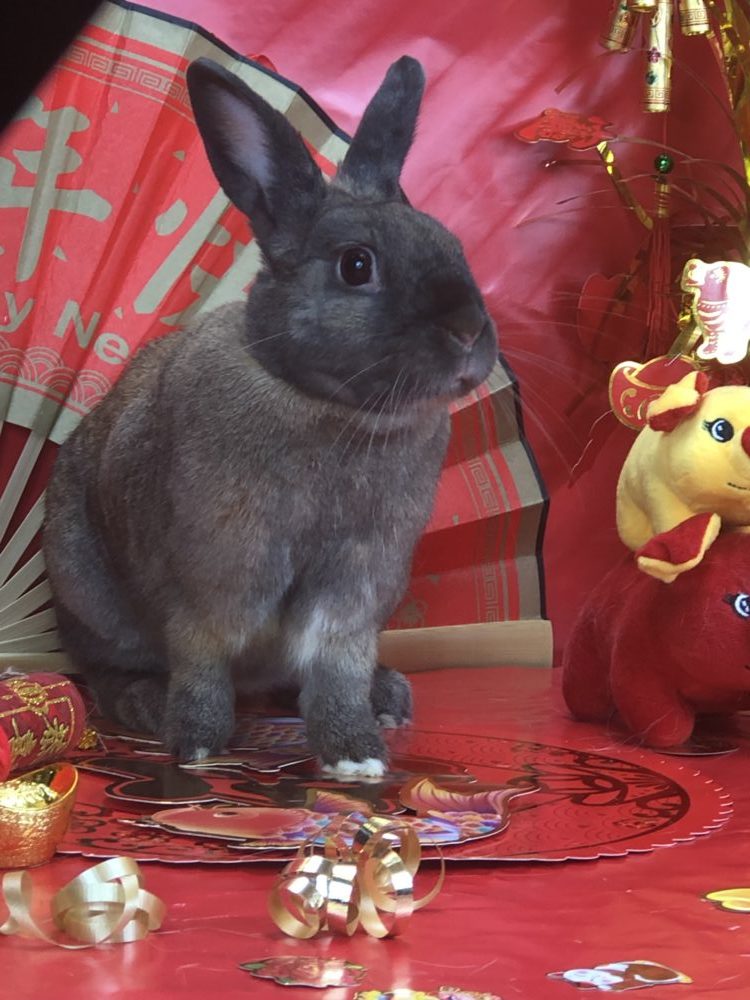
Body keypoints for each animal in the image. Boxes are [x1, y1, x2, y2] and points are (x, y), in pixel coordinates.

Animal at [42, 55, 498, 776]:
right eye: (356, 265)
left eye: (452, 242)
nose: (469, 334)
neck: (325, 404)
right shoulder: (217, 578)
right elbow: (202, 658)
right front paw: (197, 743)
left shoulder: (355, 588)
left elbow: (336, 667)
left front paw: (355, 754)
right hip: (88, 592)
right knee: (106, 670)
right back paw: (147, 704)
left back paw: (388, 696)